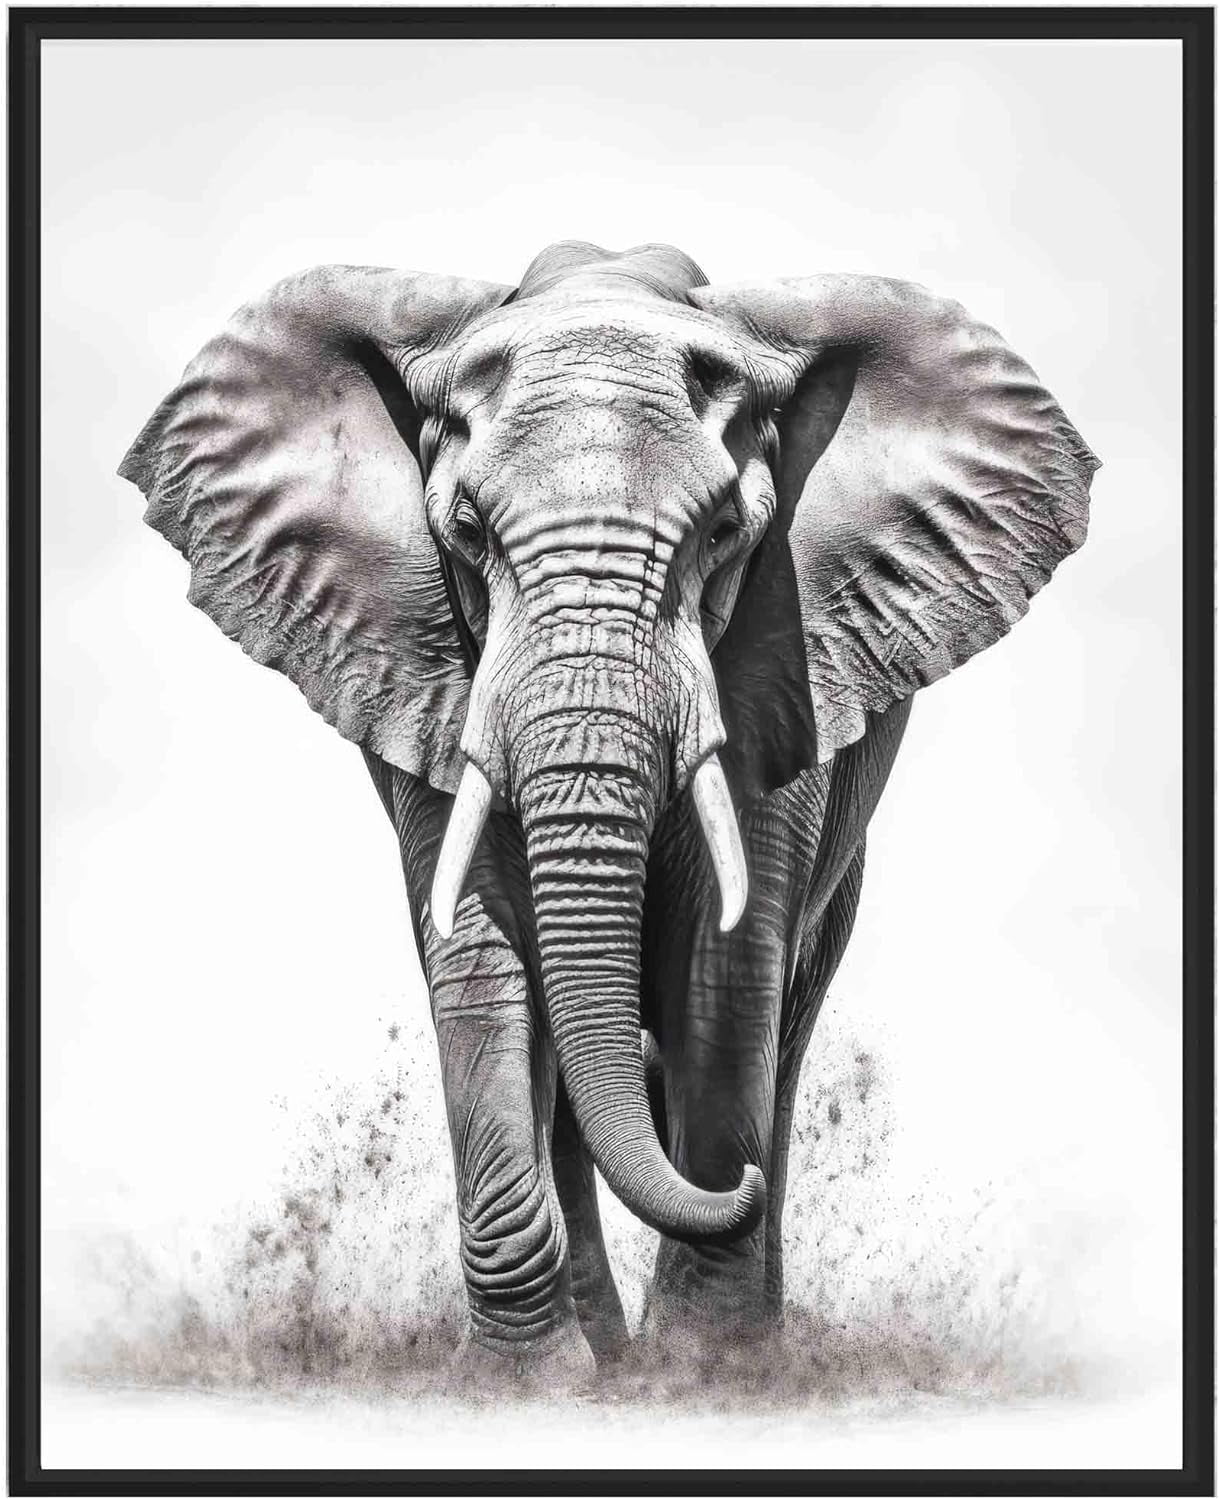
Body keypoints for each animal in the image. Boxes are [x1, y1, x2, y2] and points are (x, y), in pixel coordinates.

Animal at [120, 240, 1097, 1374]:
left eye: (725, 532)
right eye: (465, 530)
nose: (735, 1186)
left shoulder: (784, 654)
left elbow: (729, 963)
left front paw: (706, 1374)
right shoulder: (424, 662)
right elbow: (480, 961)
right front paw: (532, 1385)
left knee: (782, 1025)